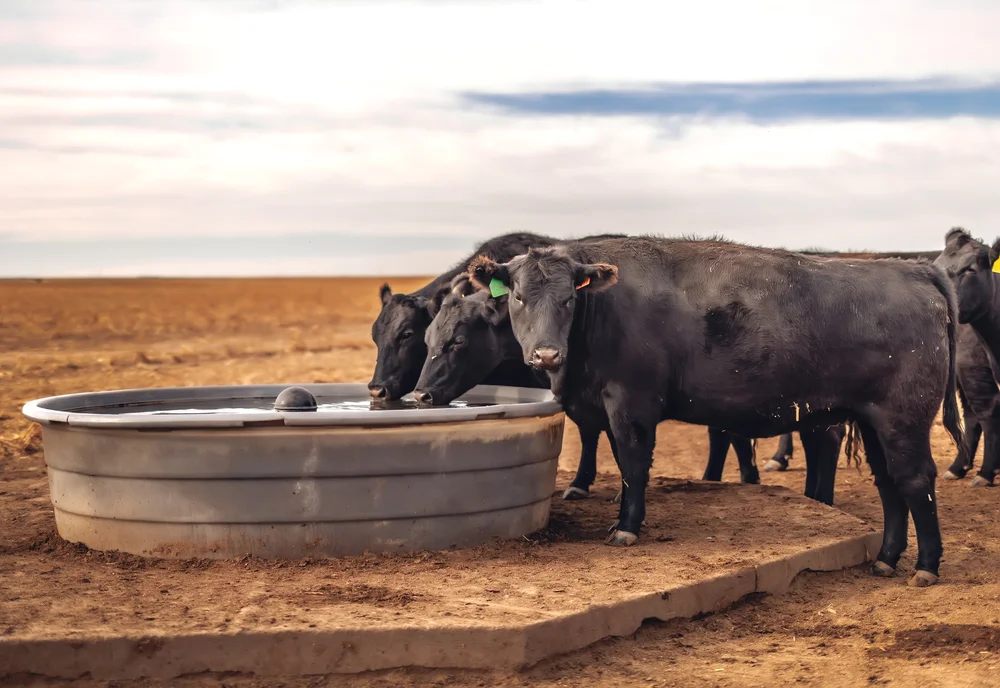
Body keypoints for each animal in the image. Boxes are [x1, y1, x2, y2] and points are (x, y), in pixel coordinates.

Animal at [468, 235, 967, 587]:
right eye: (517, 297)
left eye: (569, 299)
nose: (547, 354)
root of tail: (912, 269)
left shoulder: (631, 403)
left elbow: (633, 466)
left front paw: (627, 527)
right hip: (872, 418)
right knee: (888, 483)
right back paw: (886, 559)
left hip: (903, 417)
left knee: (914, 479)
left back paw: (926, 566)